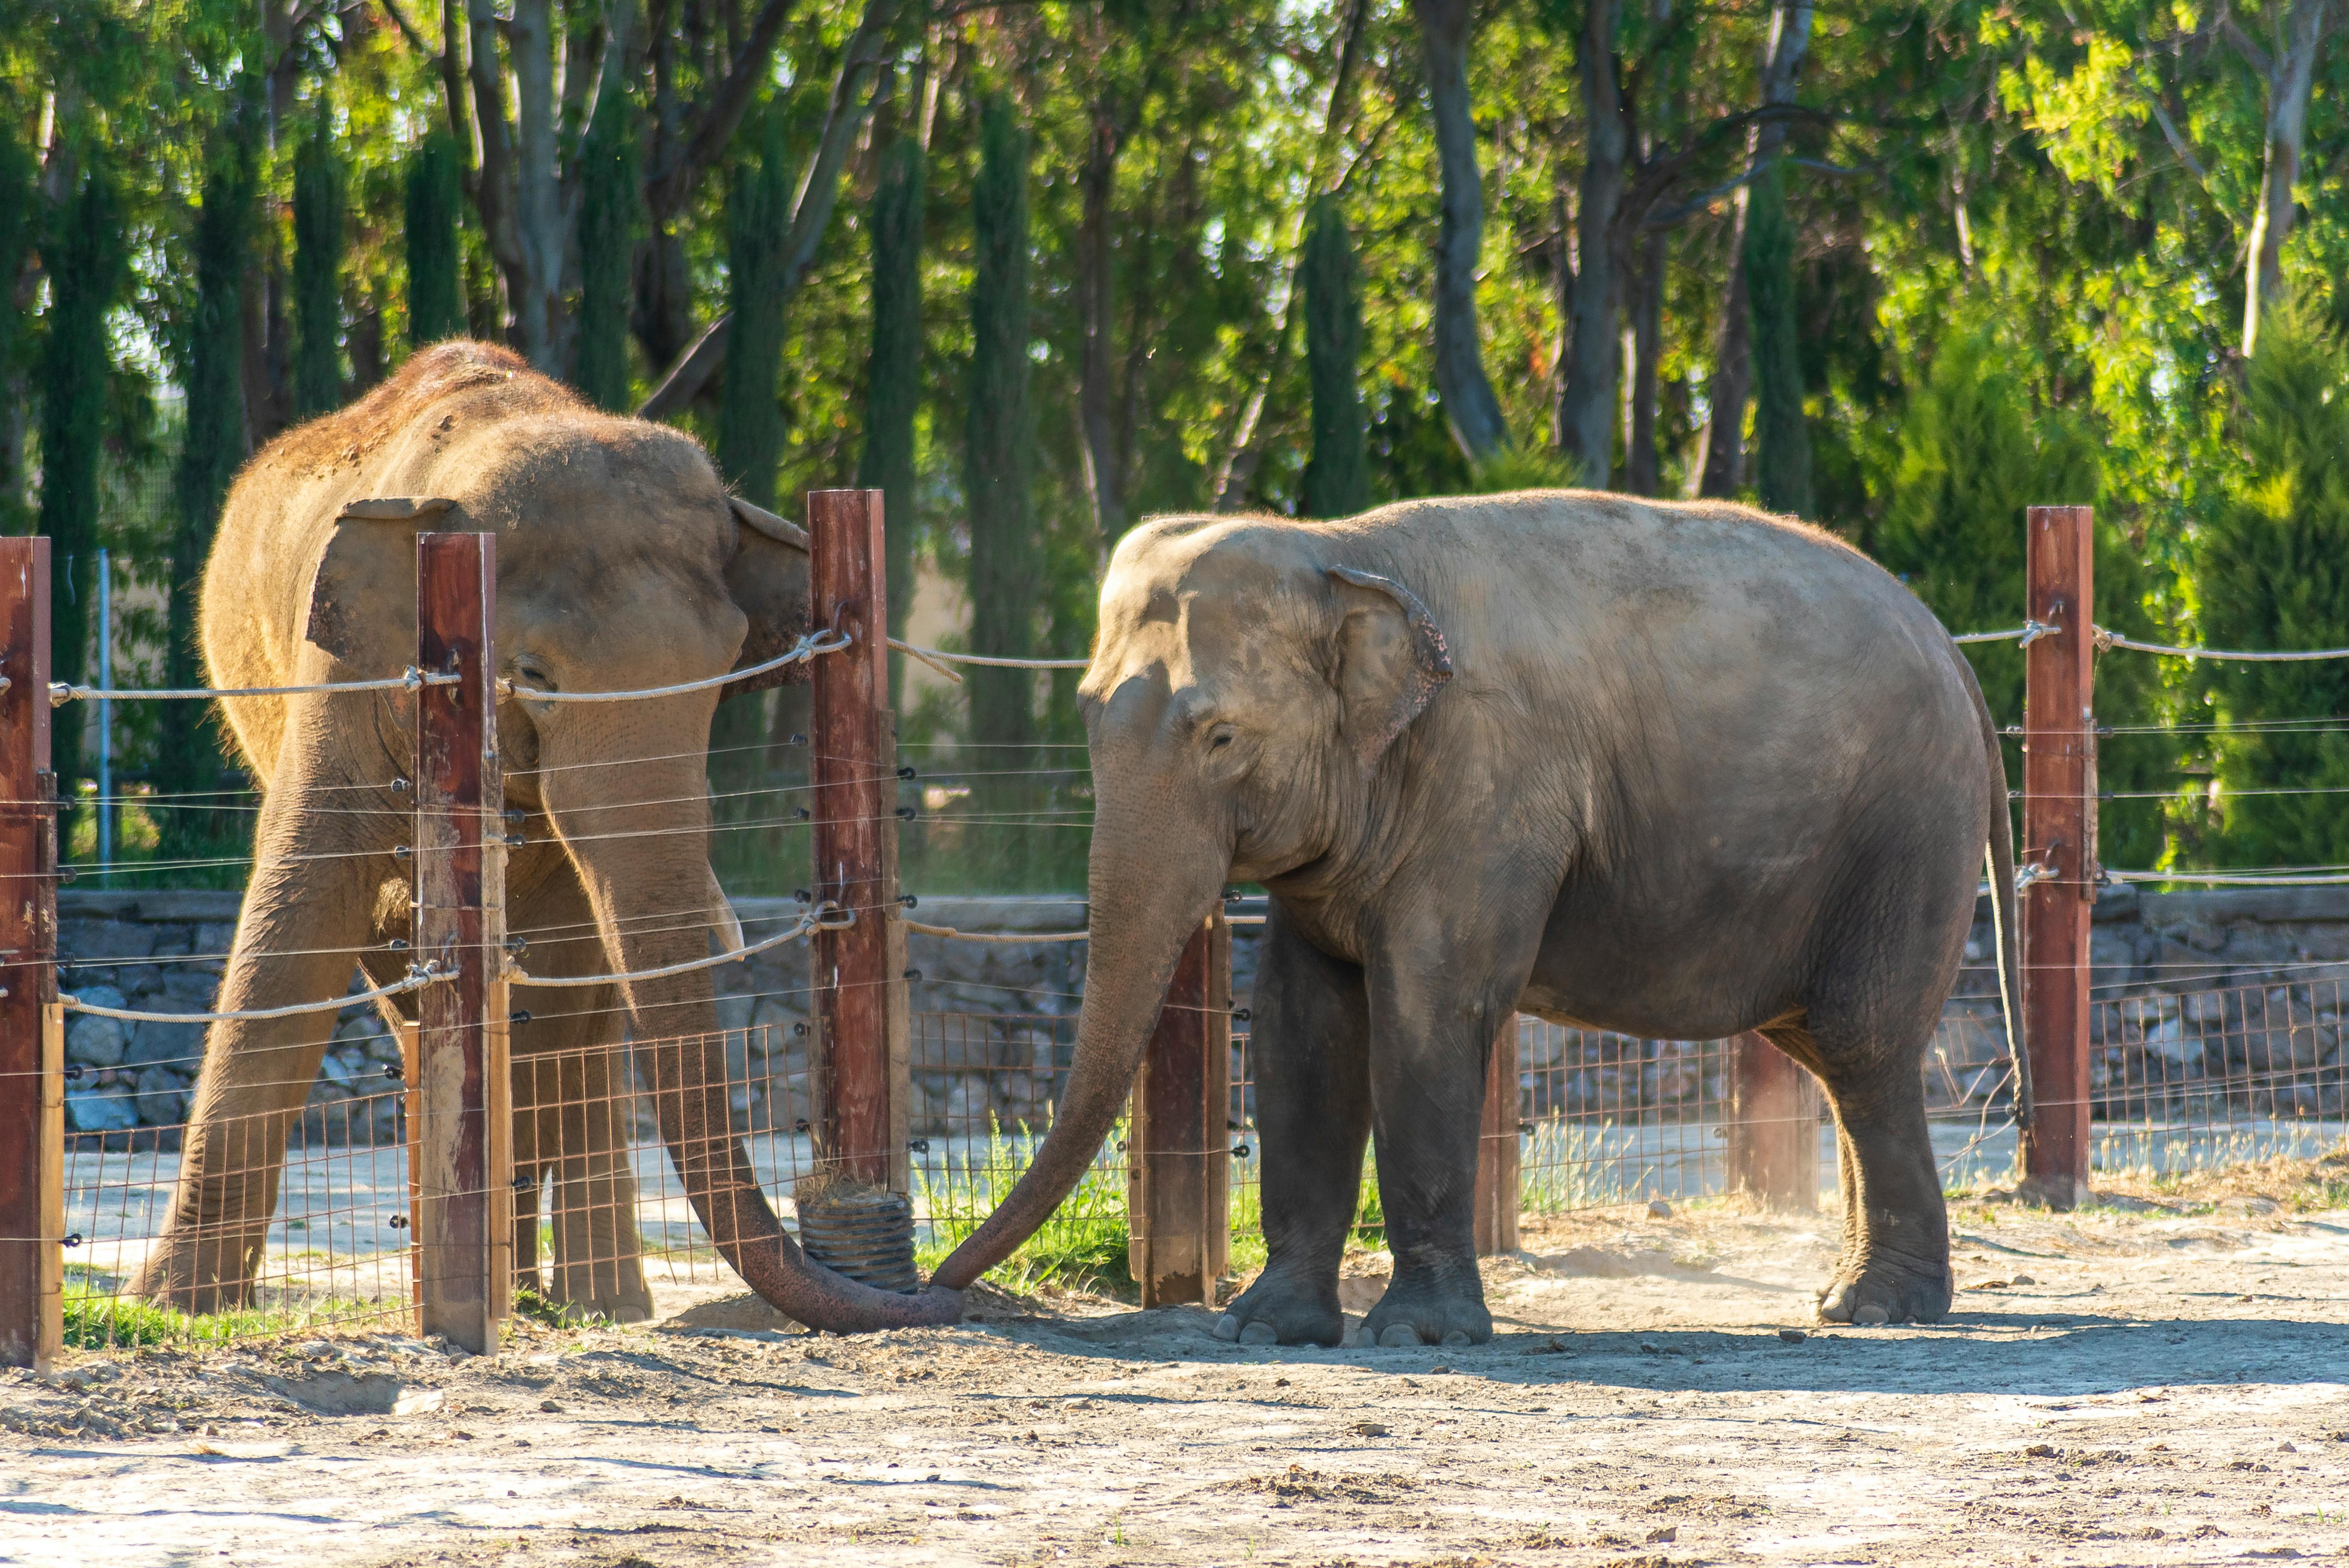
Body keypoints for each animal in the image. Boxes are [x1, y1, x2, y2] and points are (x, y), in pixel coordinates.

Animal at [133, 340, 957, 1333]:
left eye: (726, 671)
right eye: (529, 674)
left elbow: (567, 969)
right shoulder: (344, 679)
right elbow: (295, 919)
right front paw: (178, 1309)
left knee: (570, 1006)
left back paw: (579, 1299)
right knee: (415, 988)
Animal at [931, 491, 2021, 1346]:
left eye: (1223, 736)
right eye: (1084, 713)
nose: (936, 1287)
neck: (1340, 550)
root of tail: (1956, 654)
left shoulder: (1485, 782)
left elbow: (1428, 1011)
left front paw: (1415, 1334)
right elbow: (1302, 1022)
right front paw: (1265, 1328)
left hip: (1906, 831)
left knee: (1860, 1046)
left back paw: (1876, 1308)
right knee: (1830, 1056)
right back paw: (1845, 1298)